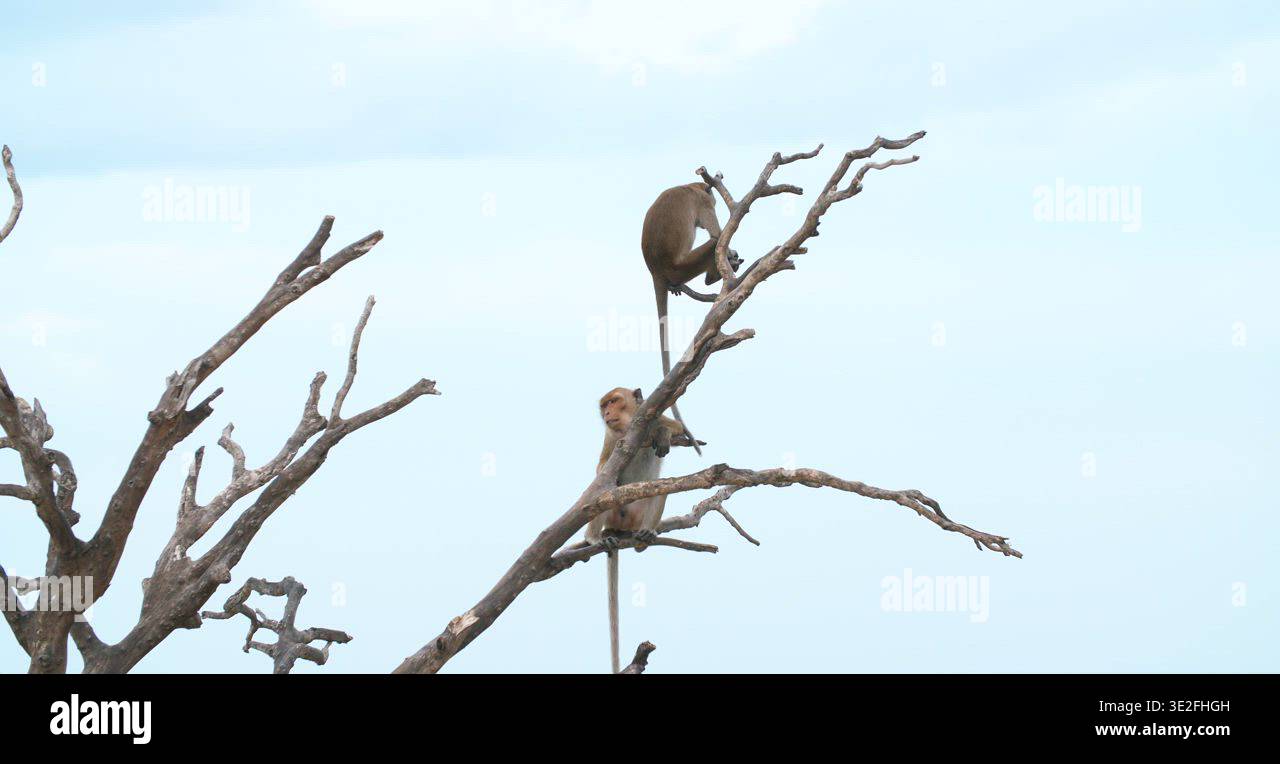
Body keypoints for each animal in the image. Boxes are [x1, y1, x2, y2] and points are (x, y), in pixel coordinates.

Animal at [586, 386, 684, 673]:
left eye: (614, 401)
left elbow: (678, 428)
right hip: (612, 516)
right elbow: (602, 471)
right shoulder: (611, 438)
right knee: (602, 494)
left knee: (660, 487)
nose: (607, 413)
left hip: (637, 517)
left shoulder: (654, 415)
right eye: (604, 405)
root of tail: (619, 528)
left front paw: (662, 434)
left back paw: (644, 538)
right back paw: (595, 537)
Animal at [641, 182, 742, 456]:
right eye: (713, 199)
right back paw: (713, 277)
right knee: (713, 242)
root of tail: (655, 270)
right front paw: (730, 252)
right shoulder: (702, 203)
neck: (688, 187)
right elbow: (717, 234)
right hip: (682, 267)